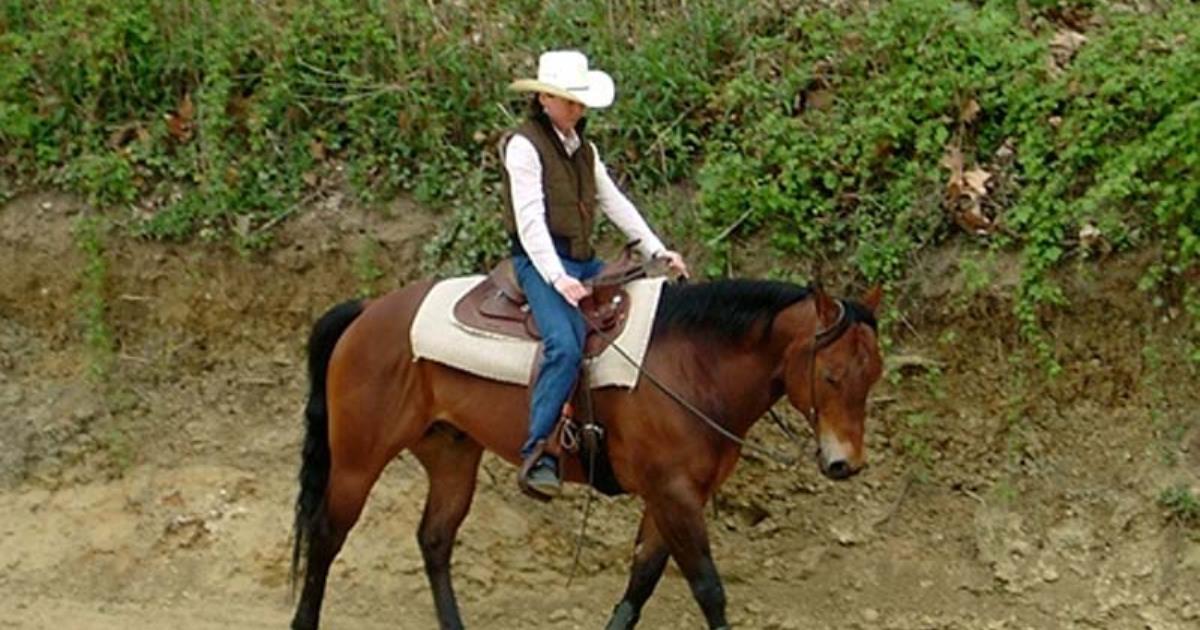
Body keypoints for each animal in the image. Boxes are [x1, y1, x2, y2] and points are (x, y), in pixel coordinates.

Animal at [289, 276, 884, 629]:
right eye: (832, 375)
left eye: (873, 375)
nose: (845, 463)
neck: (694, 366)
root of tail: (369, 310)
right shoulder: (673, 495)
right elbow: (708, 588)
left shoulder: (670, 498)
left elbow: (642, 579)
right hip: (358, 459)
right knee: (326, 535)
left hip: (452, 455)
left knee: (434, 540)